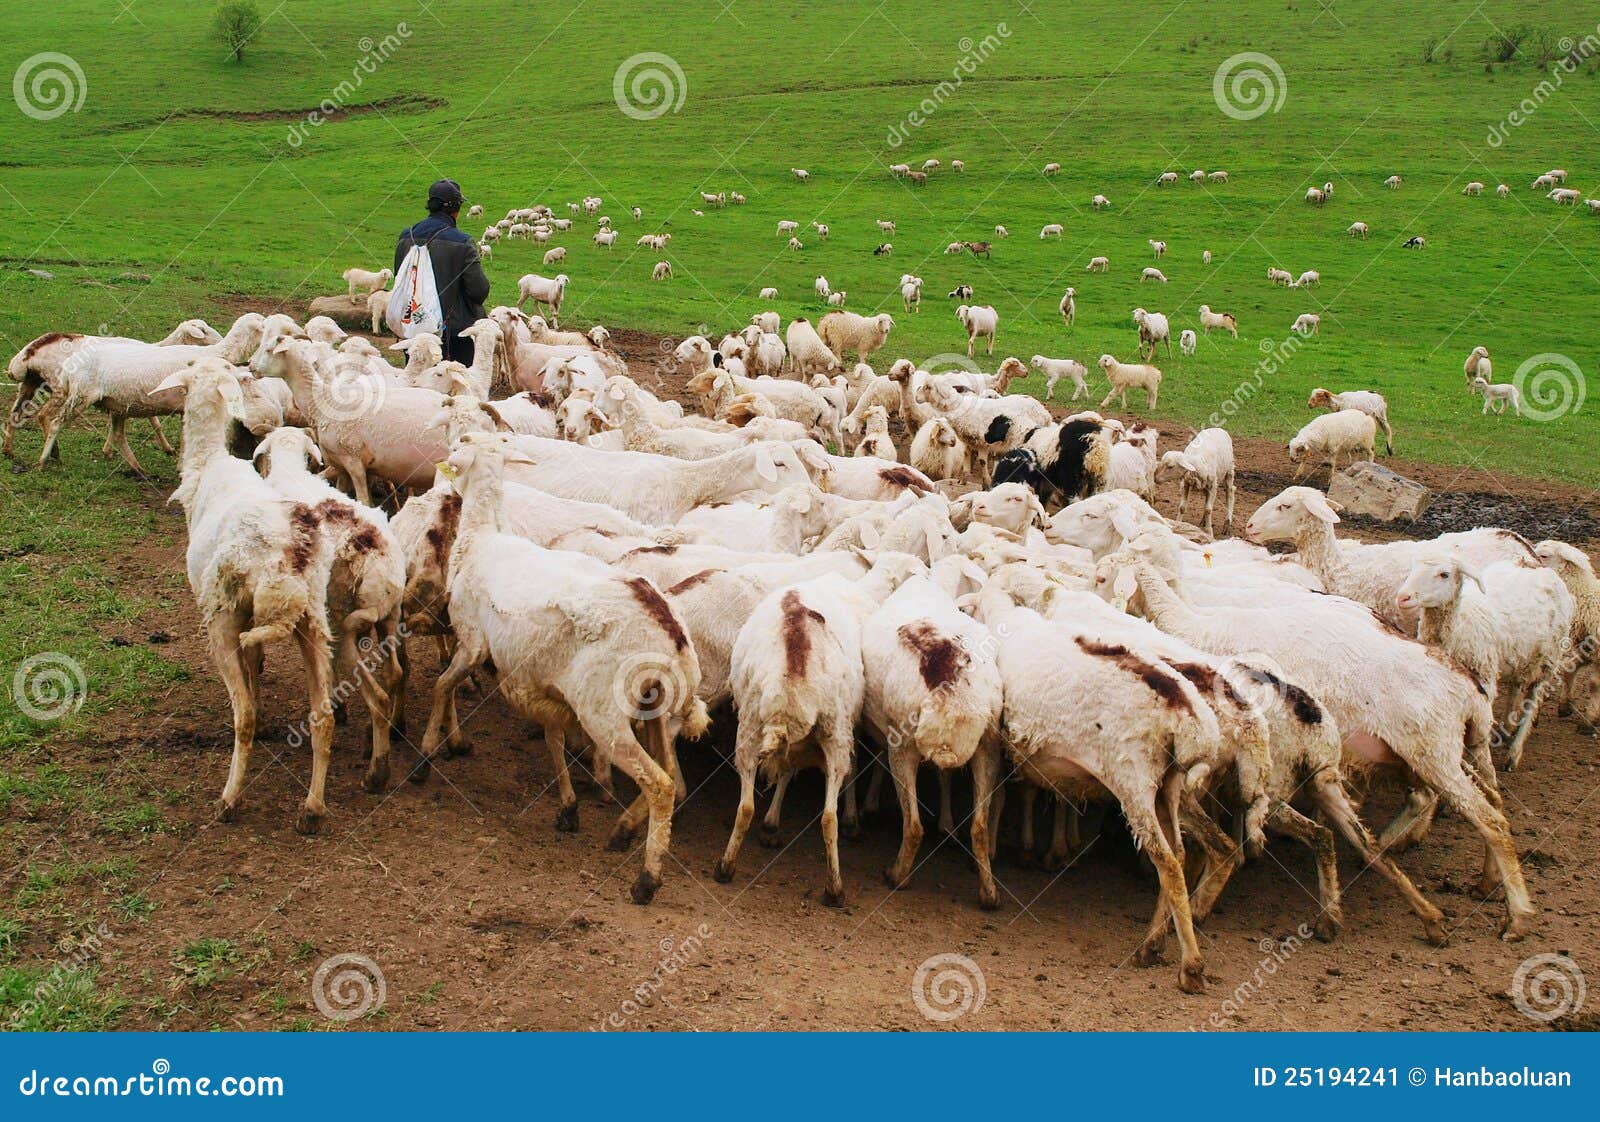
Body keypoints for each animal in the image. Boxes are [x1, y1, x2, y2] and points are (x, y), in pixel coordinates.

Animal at [153, 358, 339, 833]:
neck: (208, 464)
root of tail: (287, 564)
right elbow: (257, 663)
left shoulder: (236, 616)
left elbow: (250, 689)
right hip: (313, 618)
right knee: (323, 715)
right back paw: (312, 808)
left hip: (222, 617)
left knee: (244, 718)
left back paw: (230, 798)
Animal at [715, 556, 923, 904]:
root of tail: (791, 677)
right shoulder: (848, 725)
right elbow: (851, 768)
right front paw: (852, 819)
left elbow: (787, 770)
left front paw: (771, 825)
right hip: (835, 729)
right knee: (830, 813)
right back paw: (835, 888)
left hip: (752, 725)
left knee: (748, 806)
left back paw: (726, 866)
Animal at [1396, 553, 1572, 769]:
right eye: (1413, 568)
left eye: (1444, 574)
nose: (1403, 597)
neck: (1460, 626)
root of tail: (1537, 566)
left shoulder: (1484, 676)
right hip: (1521, 654)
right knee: (1517, 686)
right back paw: (1507, 727)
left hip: (1550, 658)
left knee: (1533, 699)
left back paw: (1514, 753)